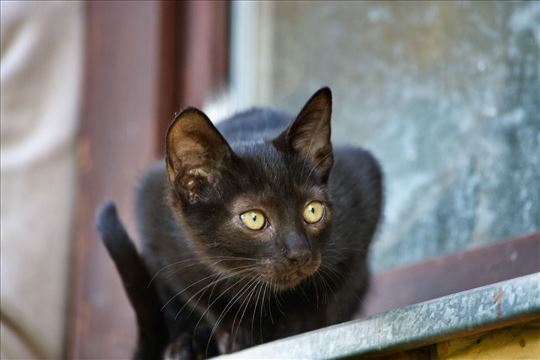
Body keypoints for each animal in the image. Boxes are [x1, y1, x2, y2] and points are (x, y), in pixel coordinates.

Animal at [97, 86, 384, 358]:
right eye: (254, 218)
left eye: (313, 211)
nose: (300, 253)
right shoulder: (155, 222)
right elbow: (198, 294)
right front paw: (237, 331)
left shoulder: (364, 184)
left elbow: (340, 289)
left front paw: (300, 323)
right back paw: (187, 344)